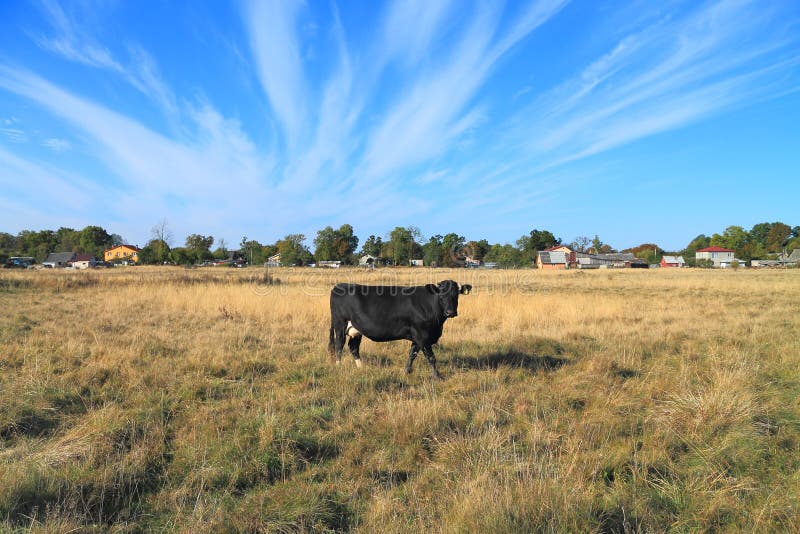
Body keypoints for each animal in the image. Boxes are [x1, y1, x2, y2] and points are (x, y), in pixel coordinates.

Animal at [328, 280, 472, 379]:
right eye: (441, 295)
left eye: (456, 295)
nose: (450, 312)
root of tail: (339, 286)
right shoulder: (422, 335)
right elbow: (431, 357)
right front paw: (438, 376)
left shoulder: (416, 337)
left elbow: (412, 354)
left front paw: (406, 371)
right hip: (340, 325)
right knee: (339, 346)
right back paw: (338, 367)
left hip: (356, 330)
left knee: (353, 347)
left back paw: (361, 368)